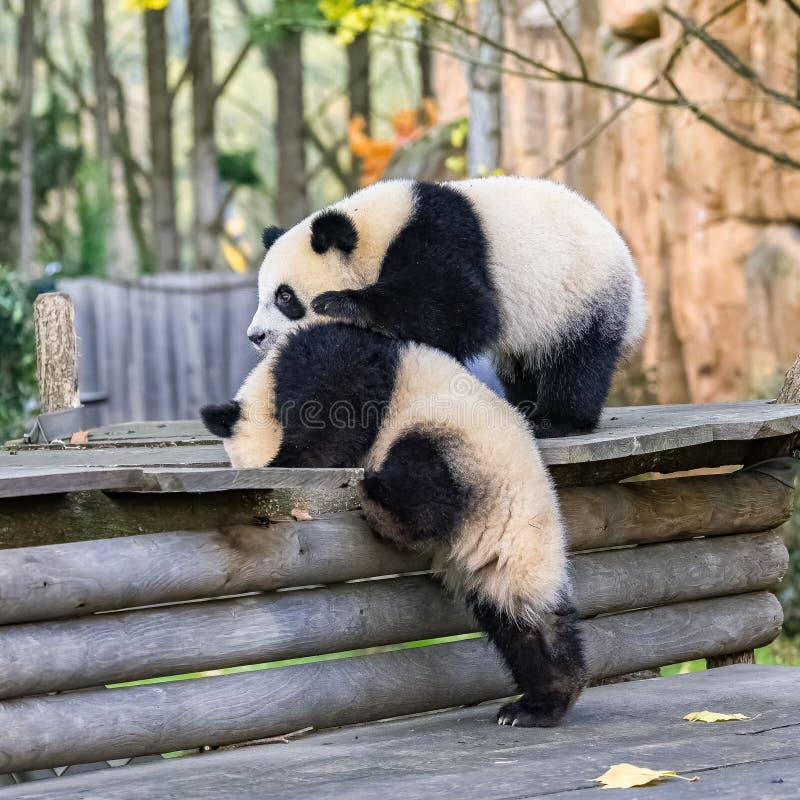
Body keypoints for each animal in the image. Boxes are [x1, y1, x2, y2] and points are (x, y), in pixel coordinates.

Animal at [201, 322, 587, 727]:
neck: (266, 382)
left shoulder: (334, 359)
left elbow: (331, 416)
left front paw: (290, 460)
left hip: (455, 441)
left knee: (422, 488)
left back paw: (375, 494)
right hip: (509, 559)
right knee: (526, 625)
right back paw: (540, 703)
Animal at [246, 176, 646, 437]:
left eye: (285, 297)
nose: (256, 336)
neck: (376, 229)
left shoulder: (440, 237)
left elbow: (464, 311)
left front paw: (342, 305)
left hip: (582, 293)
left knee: (577, 361)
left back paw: (558, 420)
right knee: (523, 363)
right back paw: (524, 406)